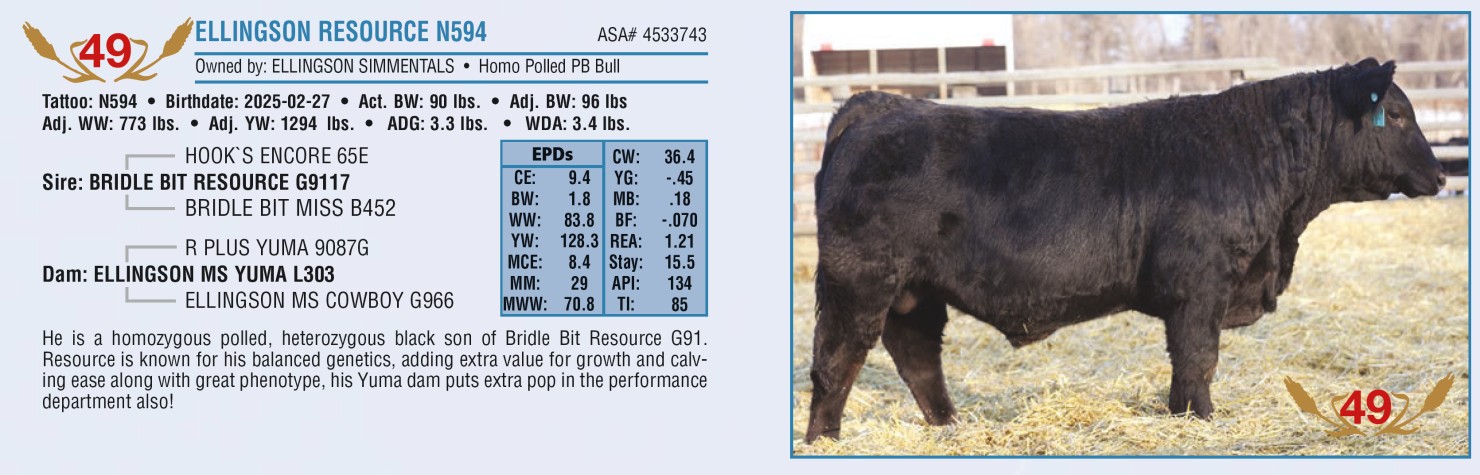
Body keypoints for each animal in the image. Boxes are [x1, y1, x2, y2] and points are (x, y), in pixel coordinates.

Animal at [804, 58, 1445, 442]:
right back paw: (824, 441)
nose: (1441, 175)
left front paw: (1183, 417)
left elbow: (1186, 366)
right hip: (858, 281)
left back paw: (951, 430)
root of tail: (881, 105)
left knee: (916, 358)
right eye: (1398, 114)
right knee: (836, 360)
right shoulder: (1200, 288)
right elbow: (1198, 360)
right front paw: (1201, 421)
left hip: (914, 292)